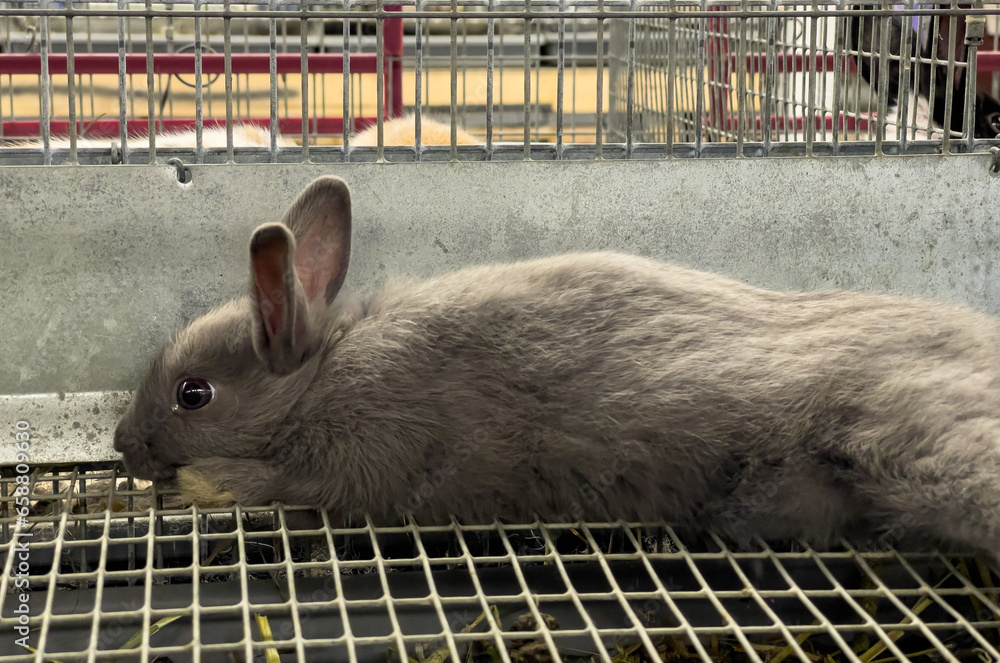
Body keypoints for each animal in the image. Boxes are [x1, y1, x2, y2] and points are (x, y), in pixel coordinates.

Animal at [114, 175, 1000, 558]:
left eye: (194, 393)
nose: (124, 443)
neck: (319, 377)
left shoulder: (357, 455)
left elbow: (281, 482)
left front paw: (201, 483)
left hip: (919, 448)